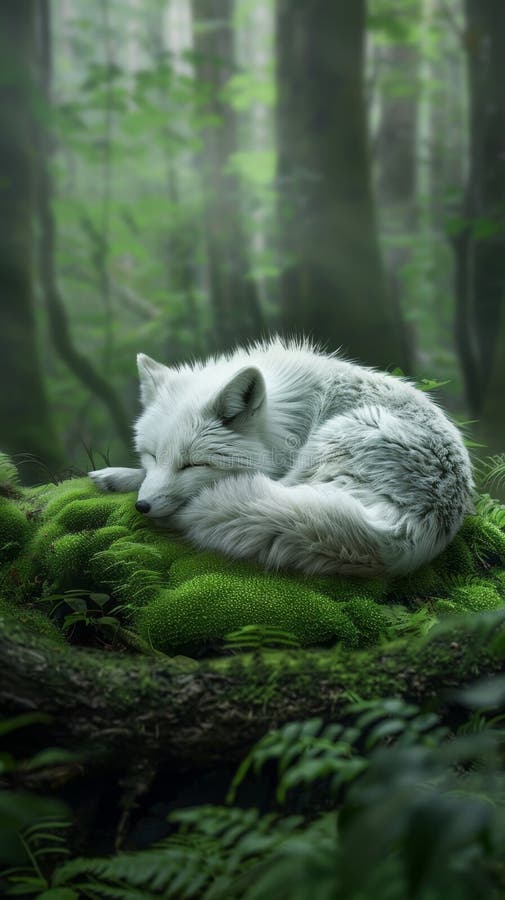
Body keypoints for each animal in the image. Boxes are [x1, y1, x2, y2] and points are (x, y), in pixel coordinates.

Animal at [89, 337, 474, 576]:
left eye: (193, 465)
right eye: (152, 455)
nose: (143, 507)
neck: (288, 416)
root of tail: (402, 532)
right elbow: (141, 476)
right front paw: (117, 476)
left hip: (333, 441)